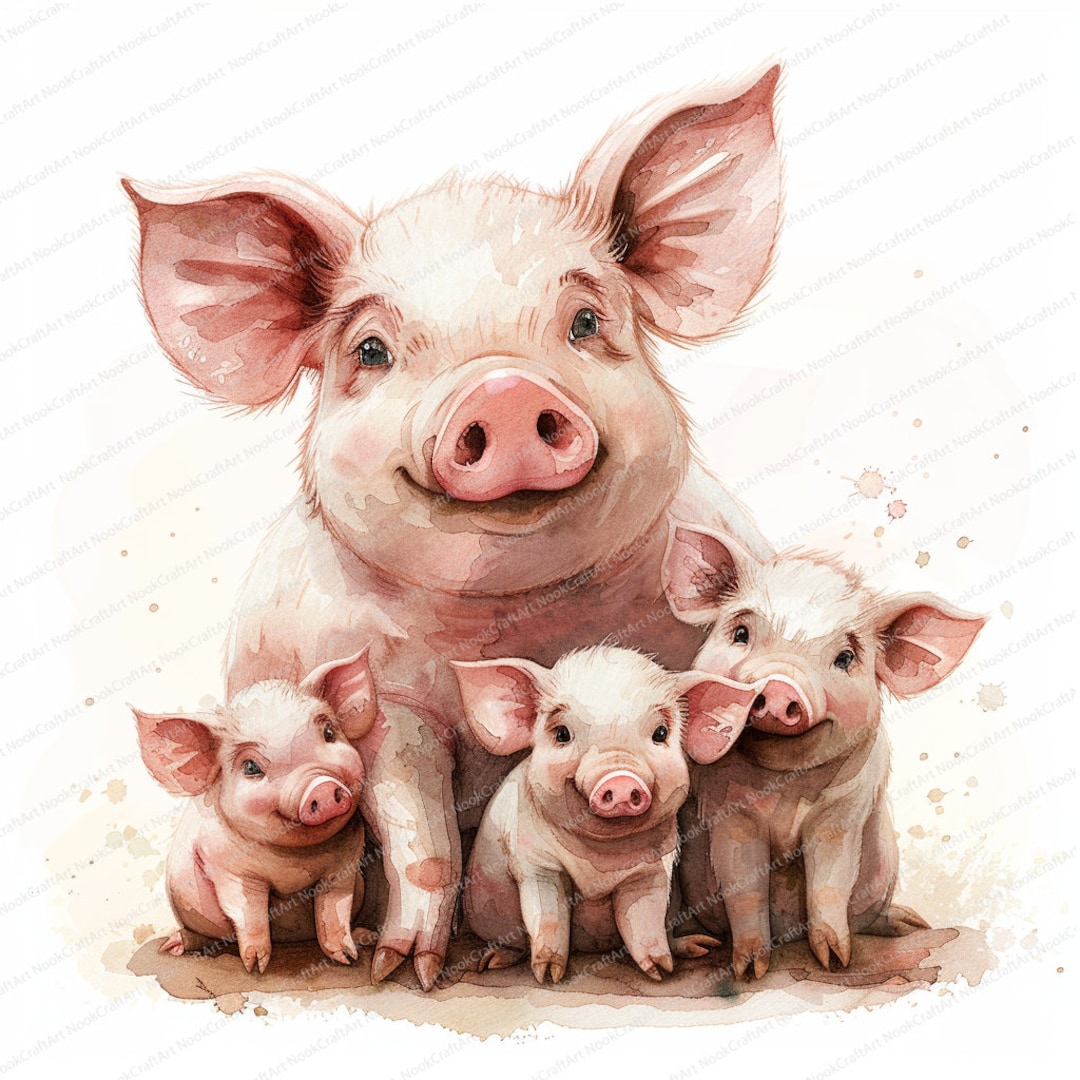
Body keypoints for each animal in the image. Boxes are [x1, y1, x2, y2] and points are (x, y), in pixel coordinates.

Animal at [133, 651, 377, 973]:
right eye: (251, 767)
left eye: (329, 733)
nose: (321, 787)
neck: (294, 862)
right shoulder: (228, 868)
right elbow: (249, 912)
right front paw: (255, 966)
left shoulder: (346, 861)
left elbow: (334, 906)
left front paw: (349, 957)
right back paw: (172, 946)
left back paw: (367, 937)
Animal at [453, 646, 757, 983]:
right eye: (562, 733)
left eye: (660, 733)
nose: (621, 779)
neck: (599, 863)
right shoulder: (535, 862)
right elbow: (547, 916)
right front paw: (548, 975)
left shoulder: (651, 870)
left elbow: (643, 919)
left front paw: (662, 971)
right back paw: (492, 961)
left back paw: (698, 946)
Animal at [662, 523, 986, 978]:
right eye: (741, 634)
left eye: (845, 657)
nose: (779, 687)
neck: (782, 787)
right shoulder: (727, 810)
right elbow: (743, 885)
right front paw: (749, 970)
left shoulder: (845, 808)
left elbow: (830, 882)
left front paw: (836, 962)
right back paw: (696, 947)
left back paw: (911, 923)